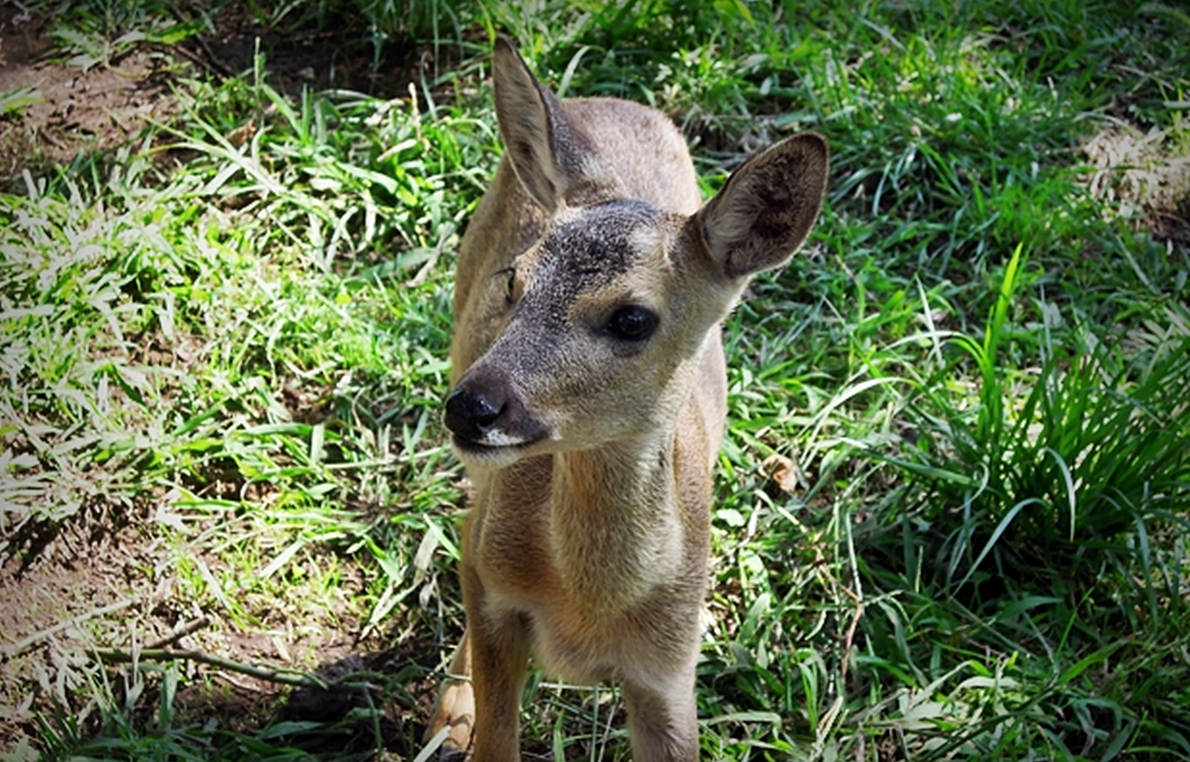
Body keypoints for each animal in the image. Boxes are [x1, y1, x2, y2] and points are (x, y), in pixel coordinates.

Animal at [425, 35, 829, 761]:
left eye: (633, 318)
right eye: (514, 281)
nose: (470, 406)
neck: (585, 605)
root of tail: (611, 99)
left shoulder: (669, 673)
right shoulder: (493, 588)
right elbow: (496, 735)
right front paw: (462, 717)